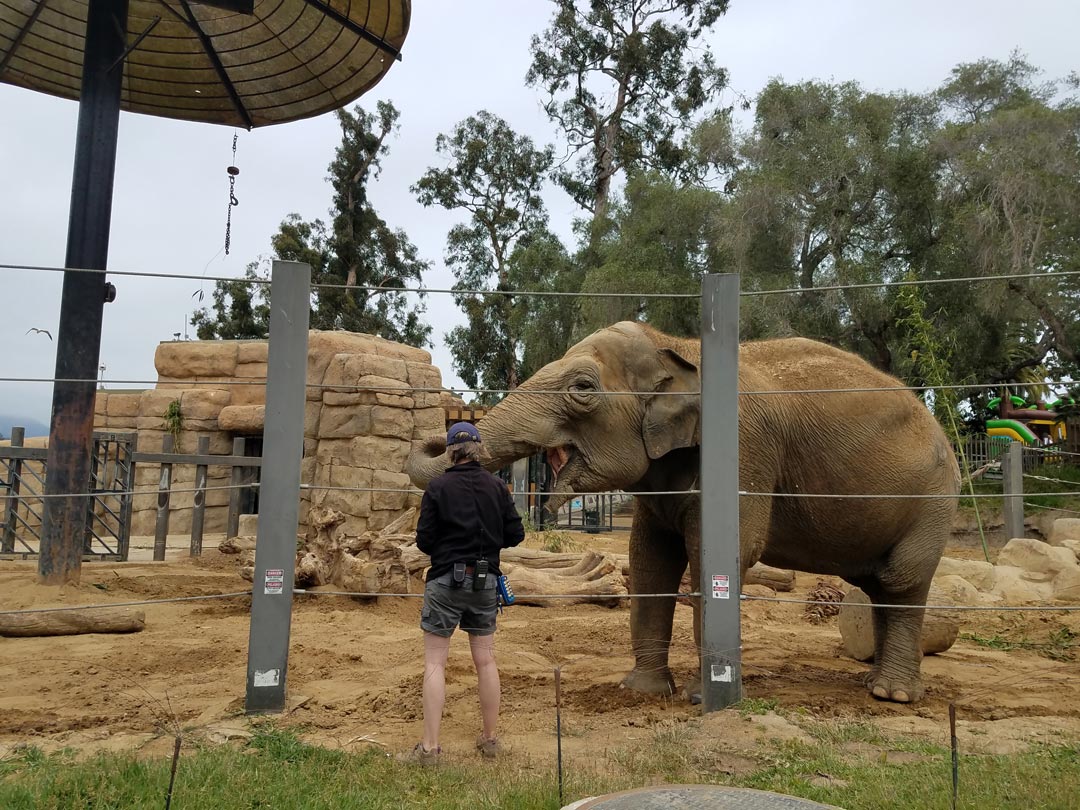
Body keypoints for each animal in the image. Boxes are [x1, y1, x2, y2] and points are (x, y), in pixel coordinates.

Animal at [407, 321, 961, 704]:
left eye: (583, 388)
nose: (446, 434)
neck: (676, 345)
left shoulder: (743, 453)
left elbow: (718, 556)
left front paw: (703, 699)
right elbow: (650, 559)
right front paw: (641, 691)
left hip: (933, 502)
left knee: (902, 580)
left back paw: (892, 695)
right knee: (879, 585)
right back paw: (874, 682)